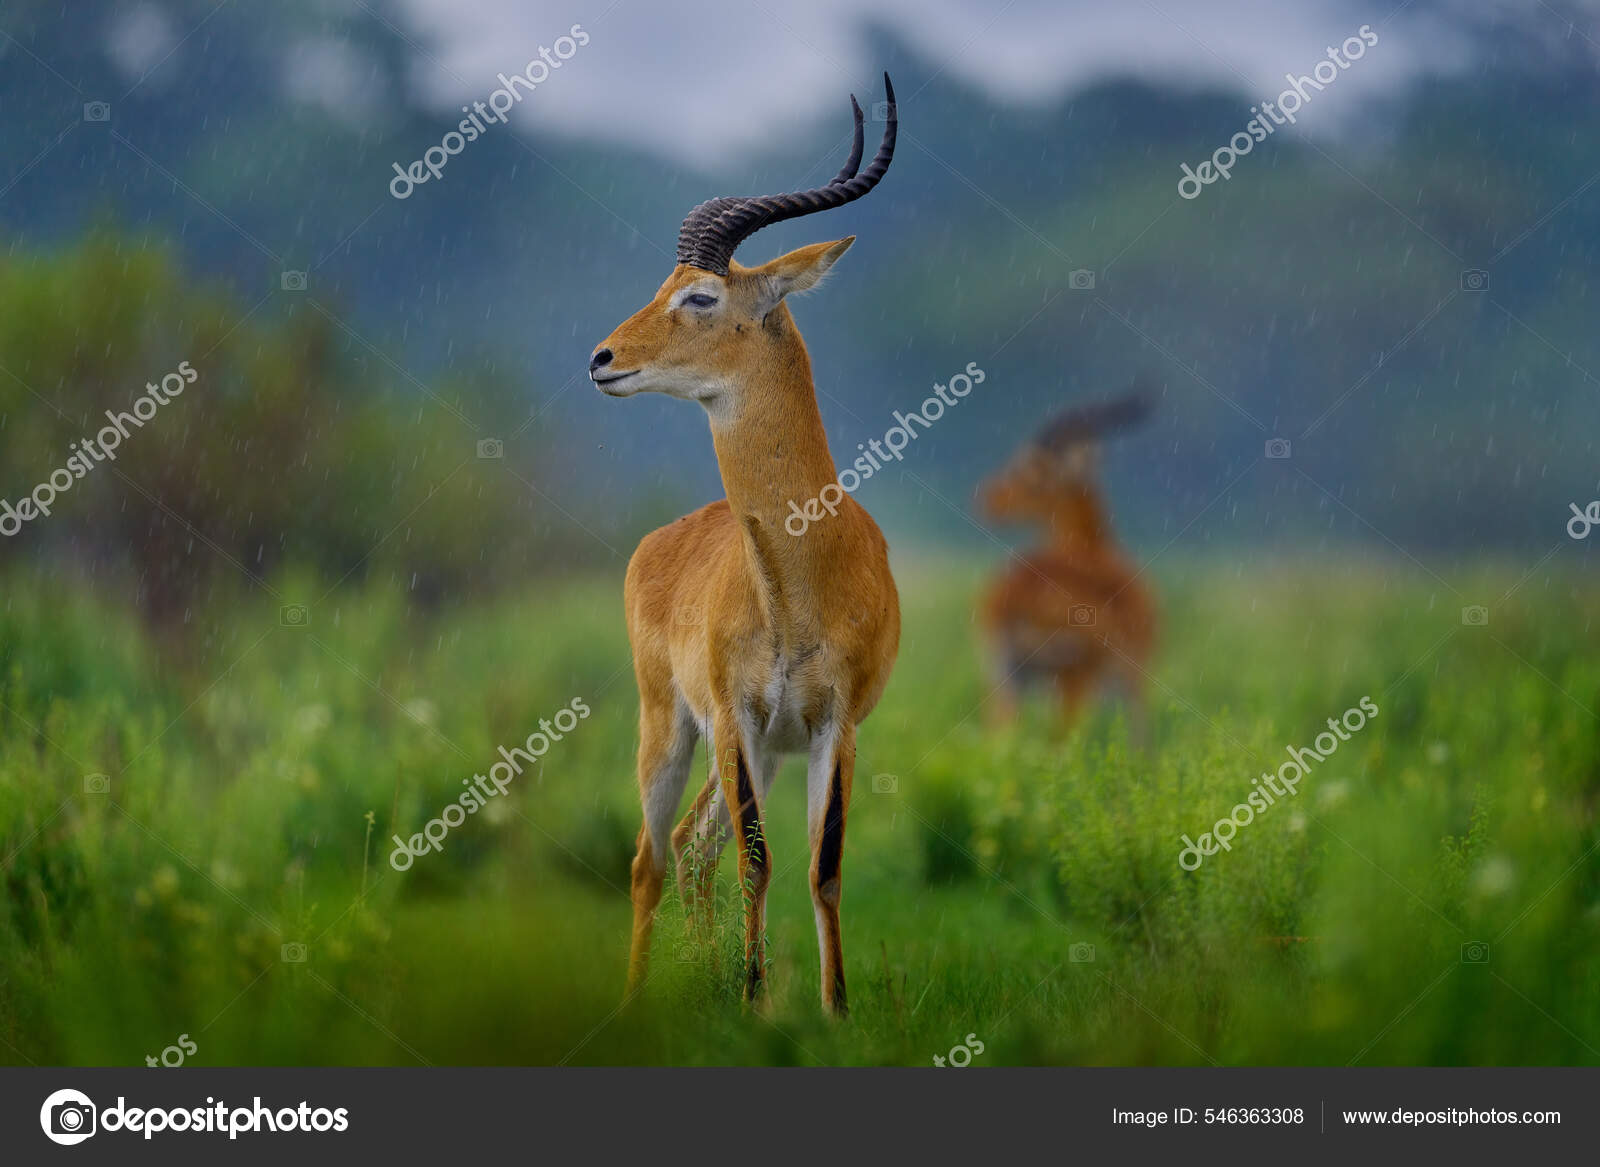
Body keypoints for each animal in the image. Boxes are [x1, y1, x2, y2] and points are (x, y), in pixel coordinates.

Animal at [590, 77, 901, 1014]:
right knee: (652, 858)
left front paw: (833, 1011)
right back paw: (640, 1001)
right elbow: (758, 860)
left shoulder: (835, 723)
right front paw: (759, 1007)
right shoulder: (737, 717)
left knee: (694, 844)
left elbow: (823, 864)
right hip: (670, 726)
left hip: (745, 747)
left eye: (700, 295)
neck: (801, 577)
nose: (602, 357)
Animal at [976, 391, 1157, 733]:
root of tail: (1014, 596)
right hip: (1075, 675)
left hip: (1010, 674)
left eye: (1035, 469)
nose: (988, 499)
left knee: (1002, 731)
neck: (1092, 547)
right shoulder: (1136, 677)